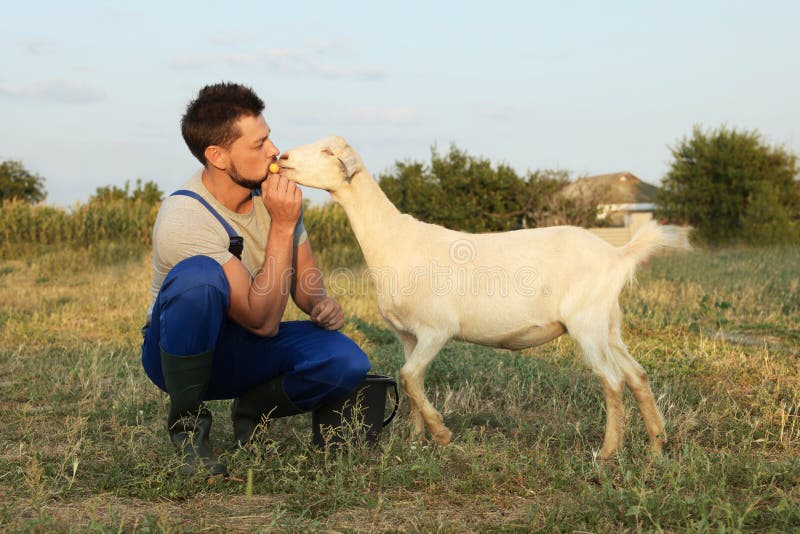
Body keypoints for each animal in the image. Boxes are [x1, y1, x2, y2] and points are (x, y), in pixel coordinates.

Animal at [279, 136, 689, 458]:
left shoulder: (436, 329)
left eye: (328, 150)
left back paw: (607, 452)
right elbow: (411, 382)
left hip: (586, 321)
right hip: (608, 323)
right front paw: (413, 441)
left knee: (612, 379)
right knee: (636, 375)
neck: (395, 240)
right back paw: (657, 445)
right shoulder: (407, 334)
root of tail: (617, 255)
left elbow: (409, 377)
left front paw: (441, 434)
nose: (281, 158)